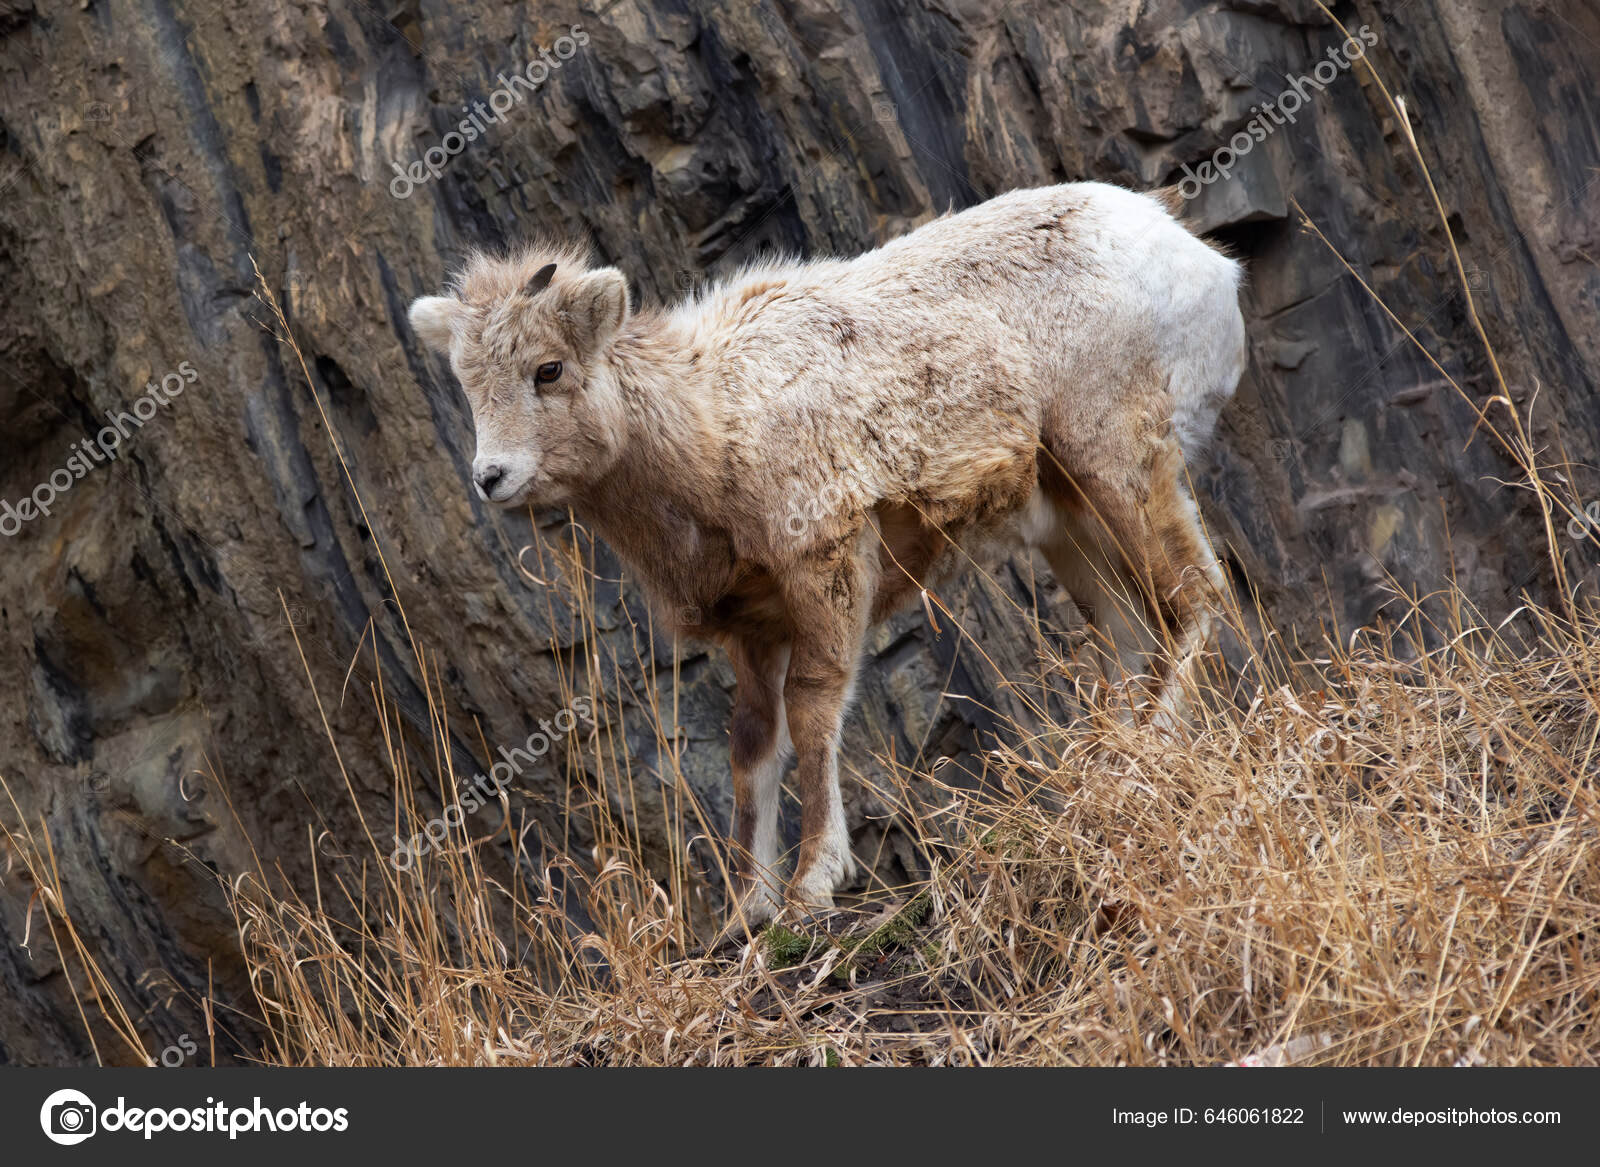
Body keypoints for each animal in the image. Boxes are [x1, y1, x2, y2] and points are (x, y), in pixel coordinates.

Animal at [408, 182, 1247, 922]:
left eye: (548, 368)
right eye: (466, 381)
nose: (492, 477)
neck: (715, 429)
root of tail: (1195, 256)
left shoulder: (826, 567)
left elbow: (814, 714)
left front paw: (813, 885)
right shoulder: (755, 627)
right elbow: (752, 747)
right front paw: (747, 910)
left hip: (1117, 458)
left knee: (1197, 595)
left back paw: (1150, 750)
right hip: (1068, 520)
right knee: (1130, 634)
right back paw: (1107, 765)